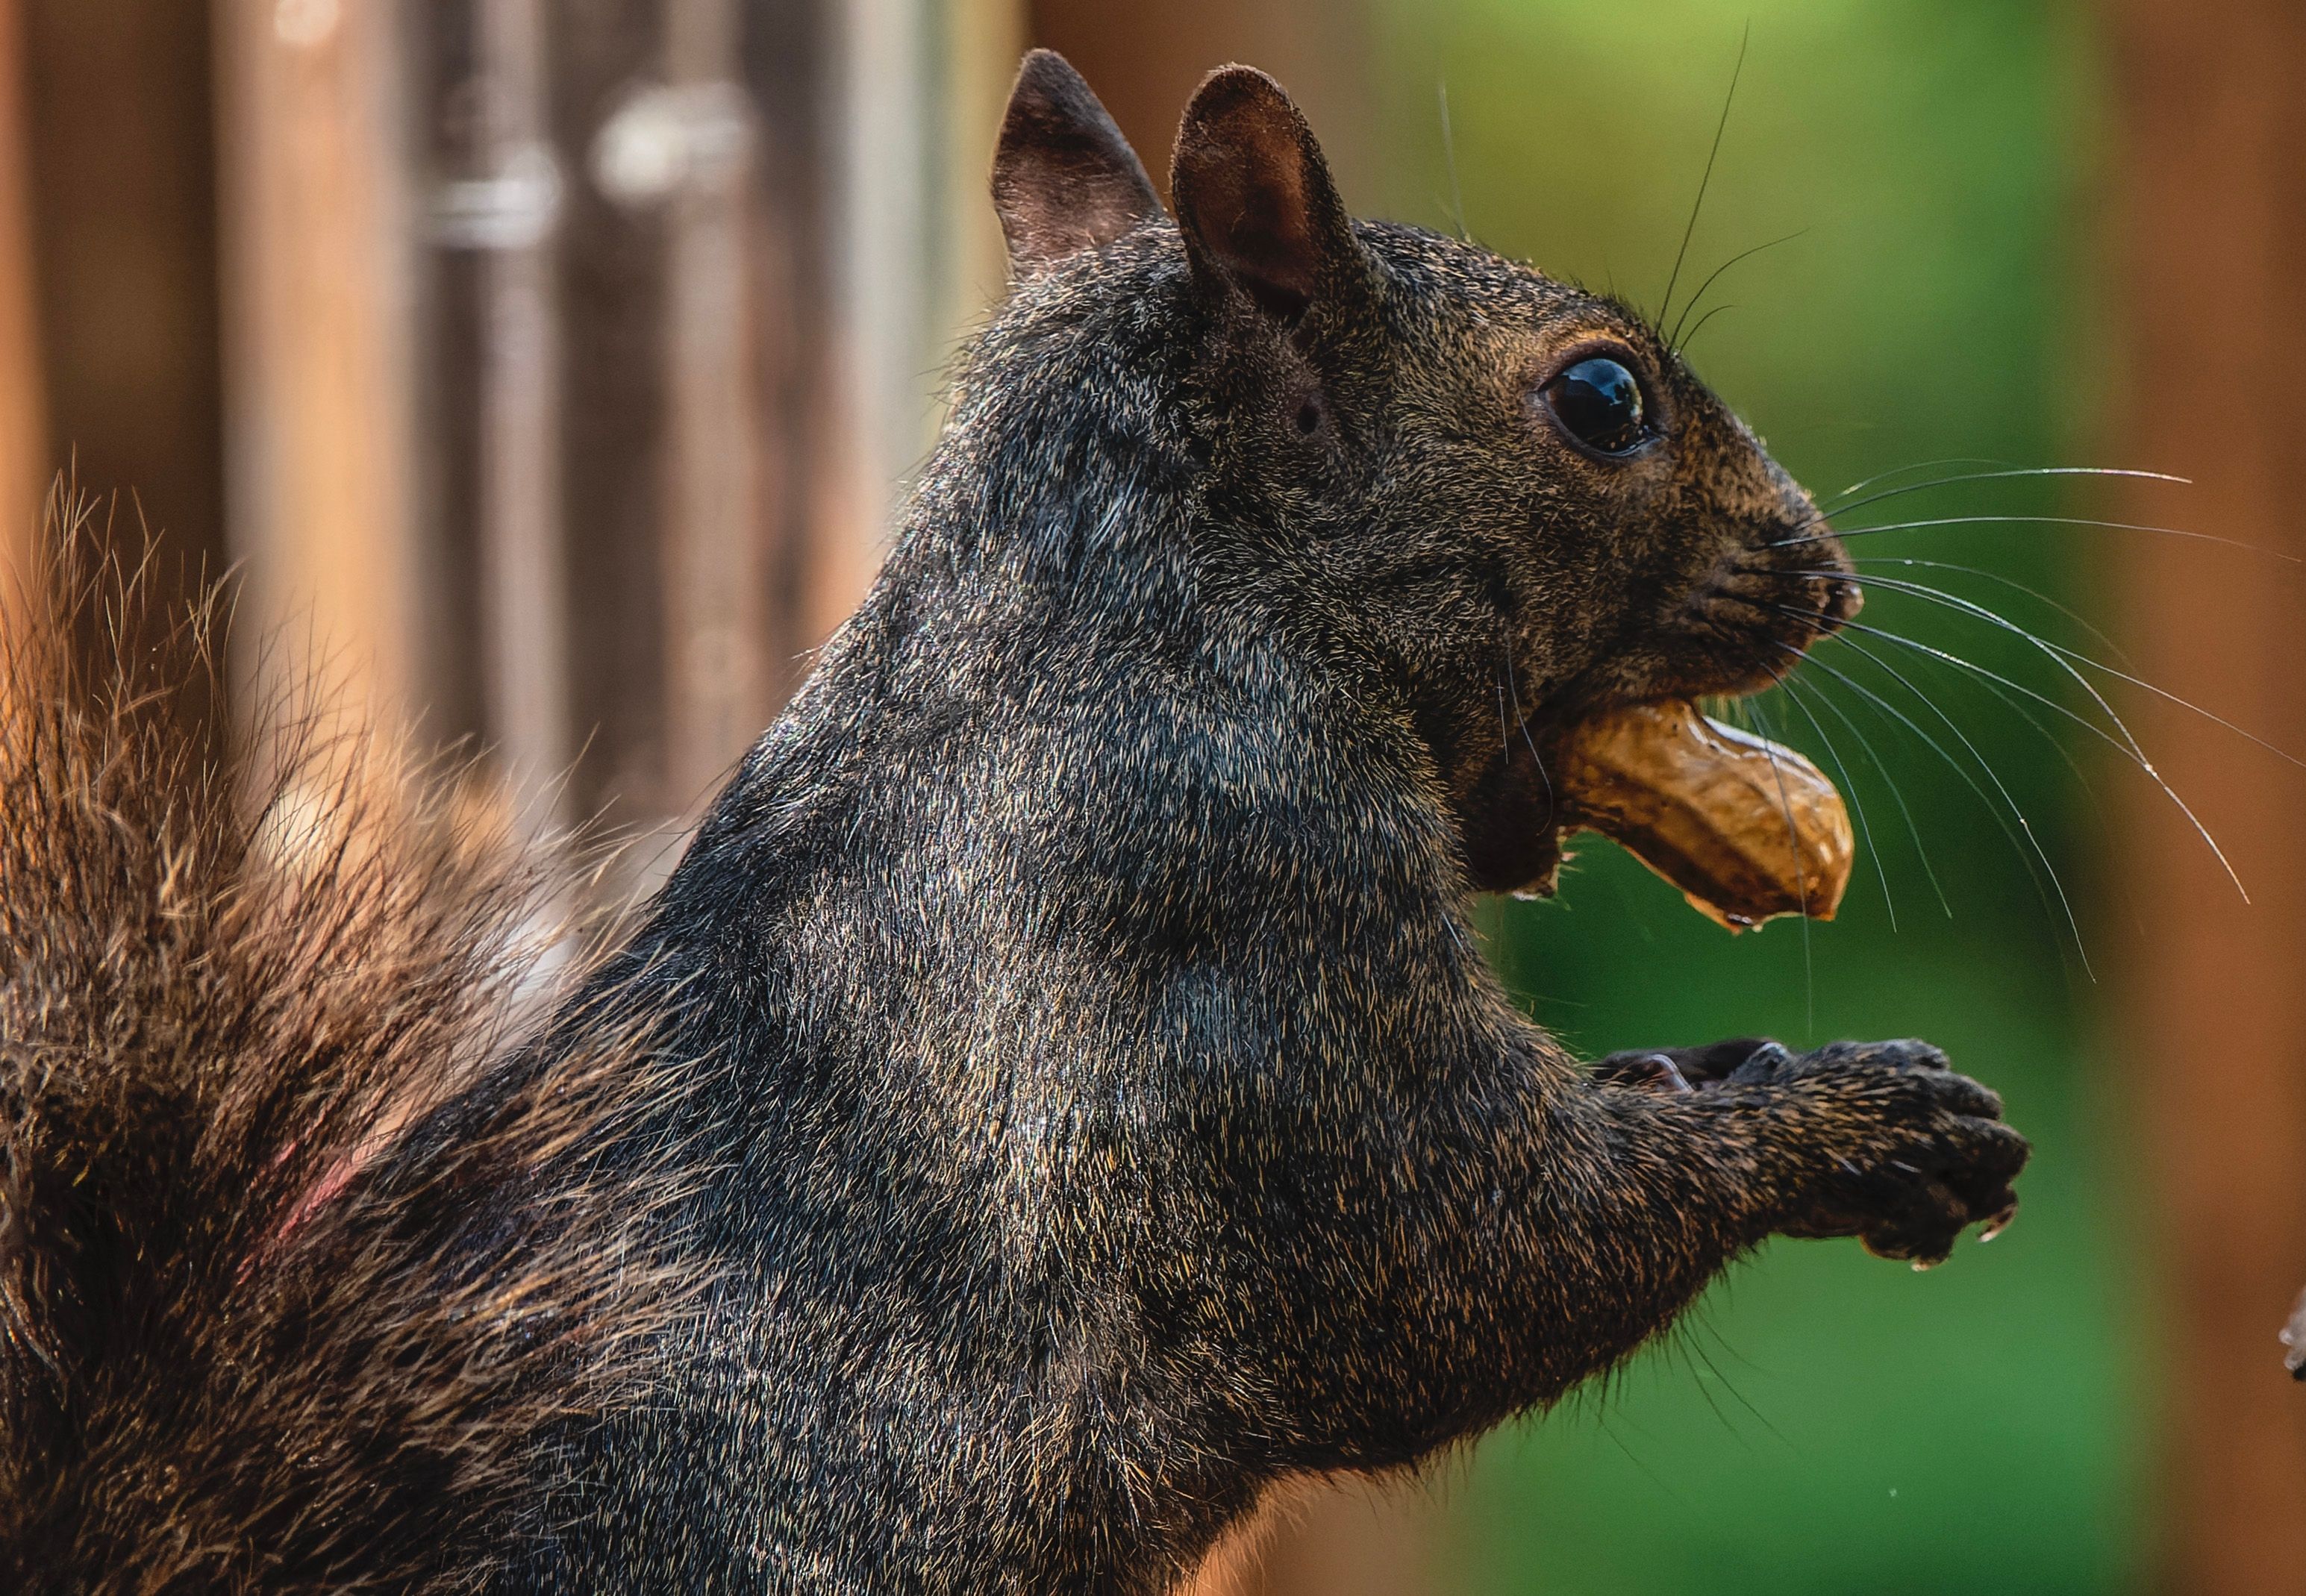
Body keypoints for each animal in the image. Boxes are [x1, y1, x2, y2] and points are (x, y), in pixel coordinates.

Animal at [0, 50, 2028, 1596]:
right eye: (1602, 398)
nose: (1829, 580)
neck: (1166, 600)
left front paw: (1733, 1066)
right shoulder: (1227, 923)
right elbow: (1464, 1250)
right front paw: (1856, 1120)